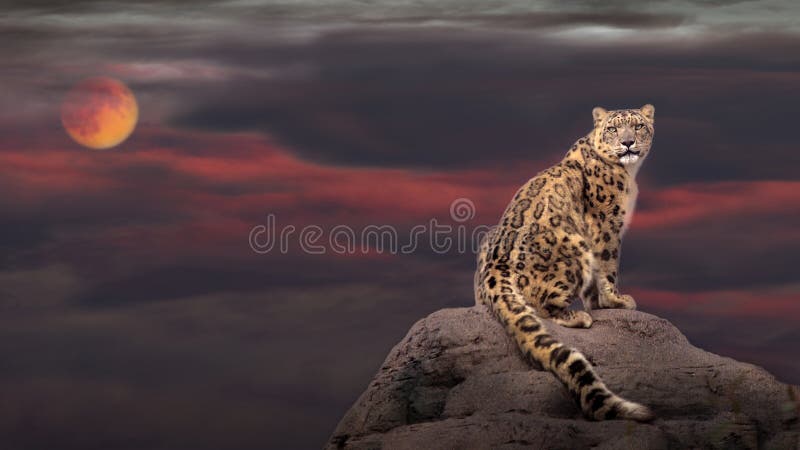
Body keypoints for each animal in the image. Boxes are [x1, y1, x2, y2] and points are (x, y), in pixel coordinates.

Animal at [474, 104, 656, 421]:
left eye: (639, 126)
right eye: (613, 128)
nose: (628, 142)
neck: (629, 175)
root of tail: (496, 266)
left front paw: (597, 302)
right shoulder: (606, 225)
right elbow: (608, 266)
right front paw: (616, 301)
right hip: (575, 249)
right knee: (544, 306)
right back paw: (578, 317)